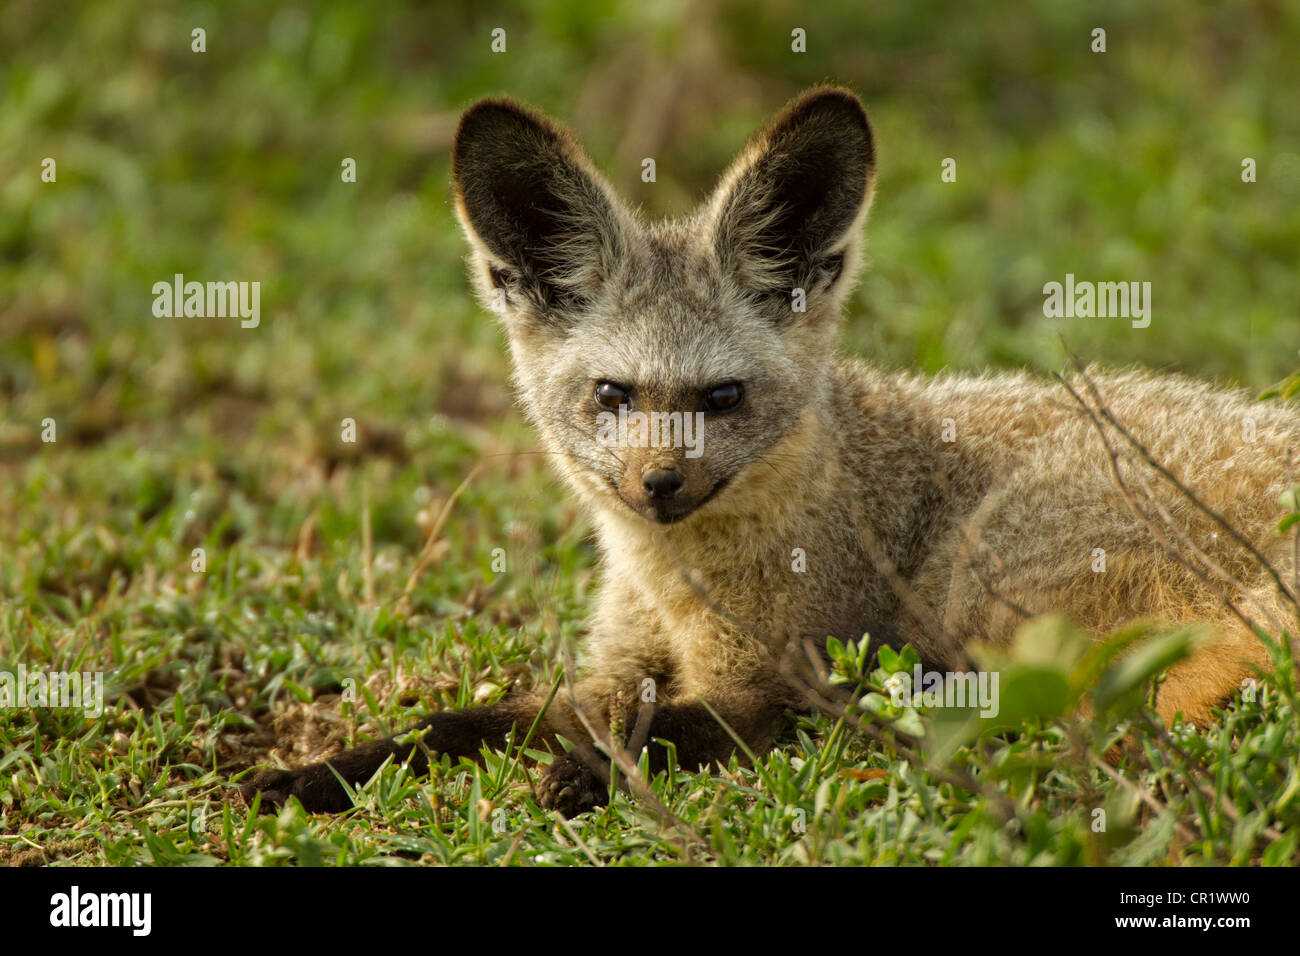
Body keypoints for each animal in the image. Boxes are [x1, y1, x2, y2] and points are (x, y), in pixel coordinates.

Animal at [243, 86, 1298, 817]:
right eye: (612, 395)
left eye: (722, 398)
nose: (659, 483)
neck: (673, 581)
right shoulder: (616, 667)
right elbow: (462, 720)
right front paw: (317, 773)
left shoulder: (777, 681)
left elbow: (659, 729)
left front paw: (578, 778)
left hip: (980, 581)